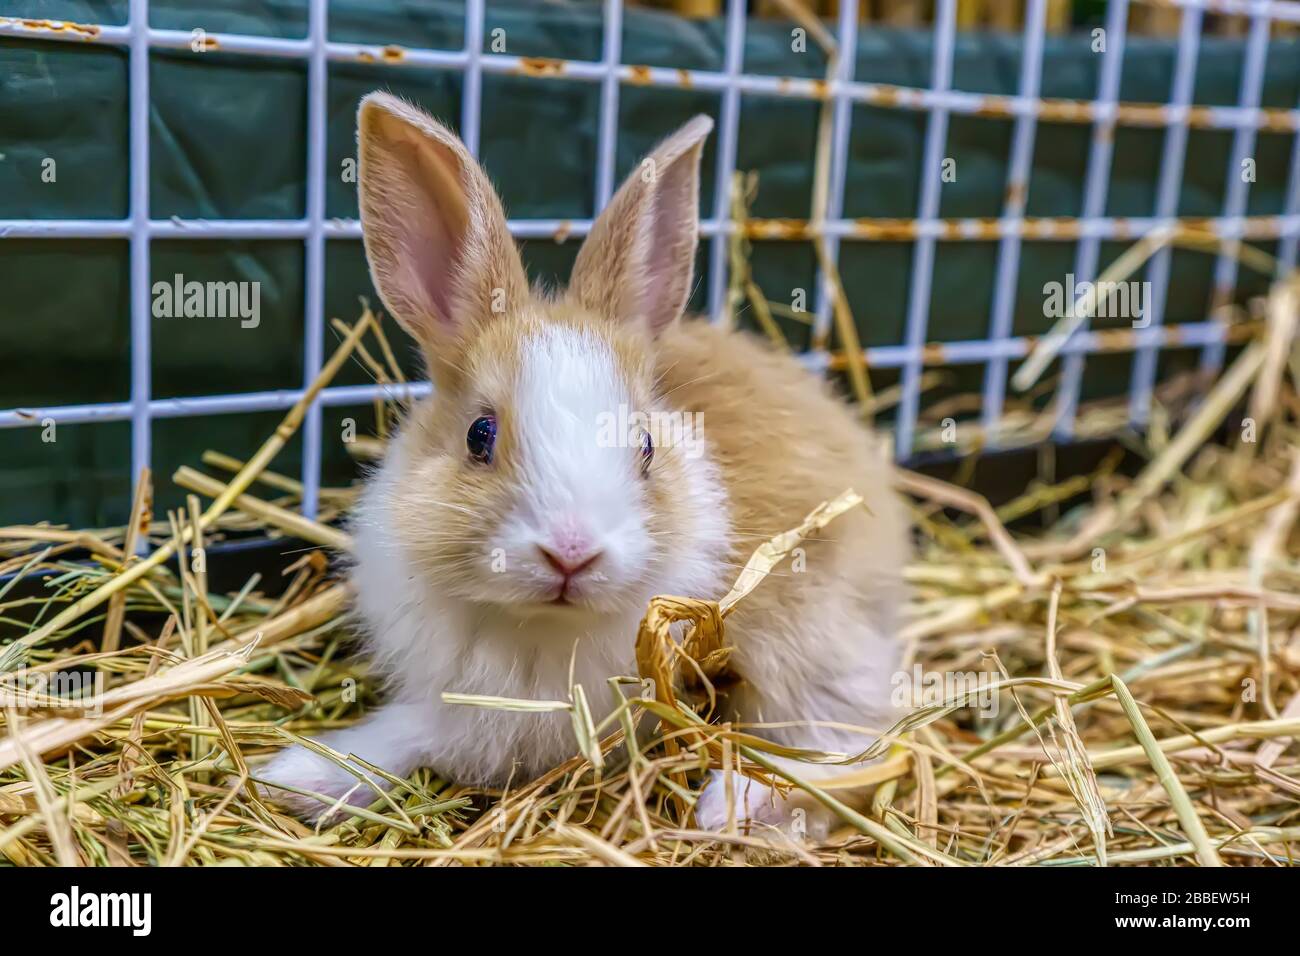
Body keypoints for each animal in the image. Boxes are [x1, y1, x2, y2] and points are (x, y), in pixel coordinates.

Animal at [258, 91, 910, 838]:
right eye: (479, 435)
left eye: (647, 445)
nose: (571, 553)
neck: (543, 627)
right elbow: (402, 736)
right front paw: (295, 780)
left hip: (810, 630)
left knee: (849, 737)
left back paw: (729, 805)